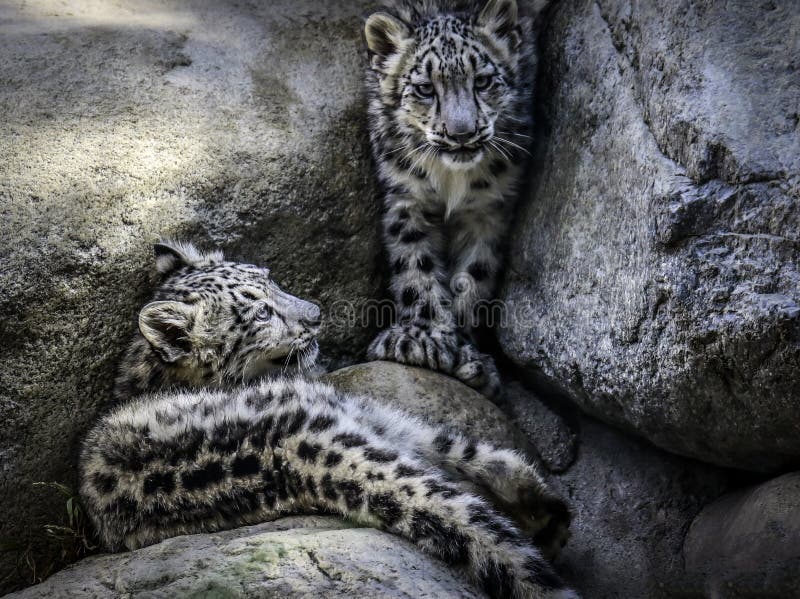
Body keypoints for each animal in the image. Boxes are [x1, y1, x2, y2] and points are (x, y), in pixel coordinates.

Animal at [80, 241, 577, 599]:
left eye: (270, 278)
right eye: (260, 312)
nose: (315, 315)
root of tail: (289, 448)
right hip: (351, 414)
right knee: (446, 449)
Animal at [363, 0, 550, 398]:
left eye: (482, 81)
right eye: (424, 88)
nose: (462, 133)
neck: (451, 179)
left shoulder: (489, 209)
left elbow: (474, 277)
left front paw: (468, 356)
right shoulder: (407, 196)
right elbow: (415, 264)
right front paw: (423, 338)